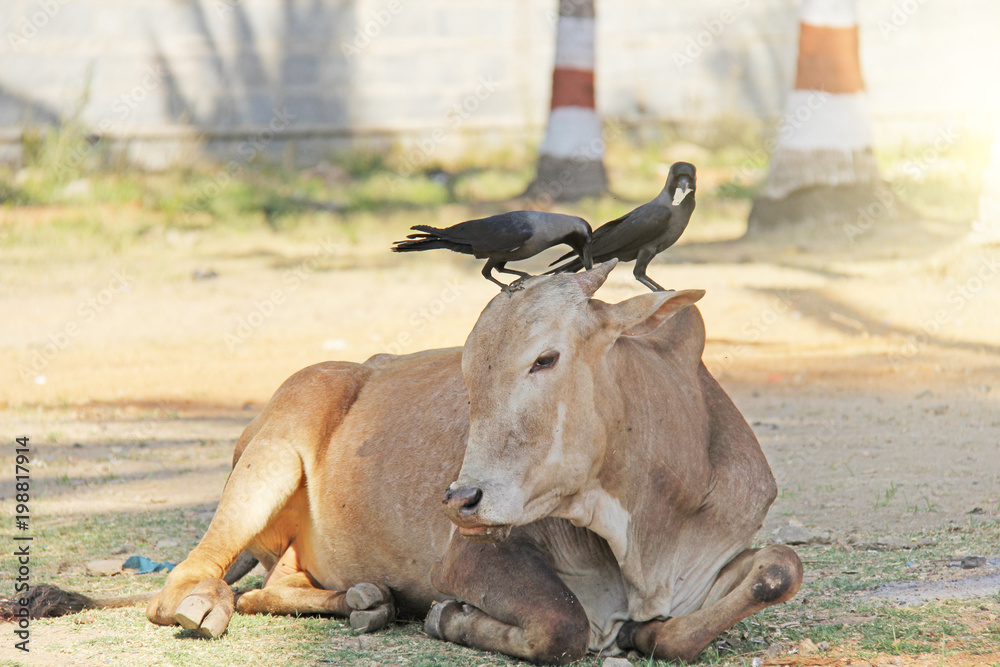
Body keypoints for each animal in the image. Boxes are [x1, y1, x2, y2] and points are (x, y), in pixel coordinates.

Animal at [142, 260, 801, 663]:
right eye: (466, 375)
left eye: (545, 358)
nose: (461, 500)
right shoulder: (471, 555)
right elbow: (564, 625)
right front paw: (449, 618)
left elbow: (778, 569)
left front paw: (650, 631)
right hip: (272, 453)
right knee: (184, 581)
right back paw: (205, 605)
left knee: (270, 589)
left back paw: (368, 601)